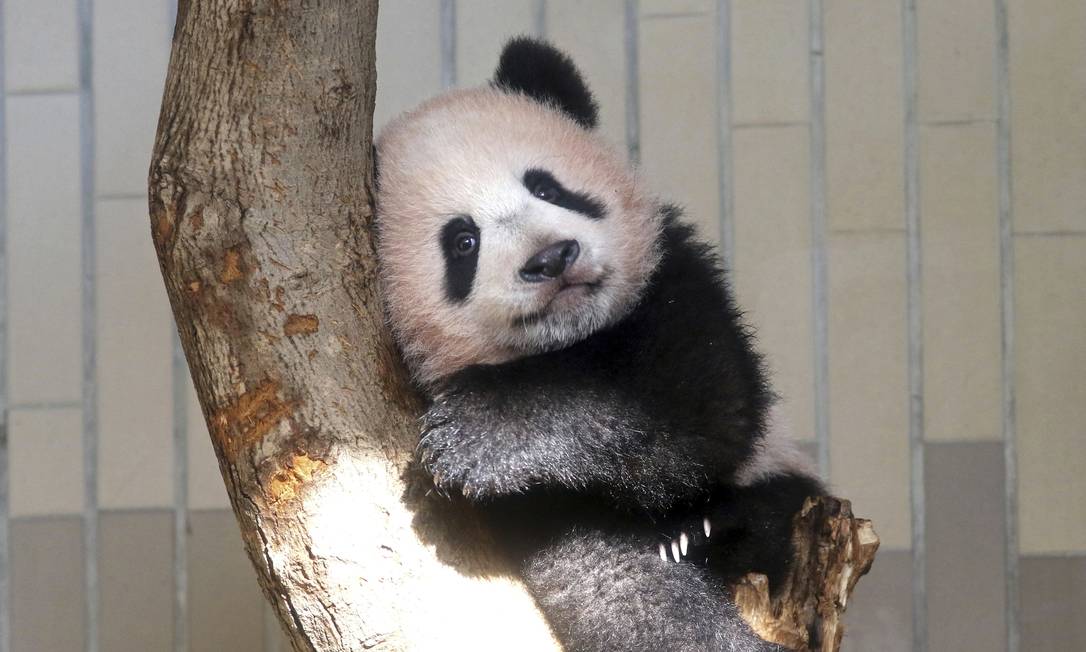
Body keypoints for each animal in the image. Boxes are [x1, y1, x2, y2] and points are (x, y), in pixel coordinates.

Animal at [375, 37, 824, 652]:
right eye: (463, 241)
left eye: (547, 187)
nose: (551, 258)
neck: (574, 340)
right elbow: (614, 584)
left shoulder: (677, 281)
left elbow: (697, 401)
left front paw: (475, 434)